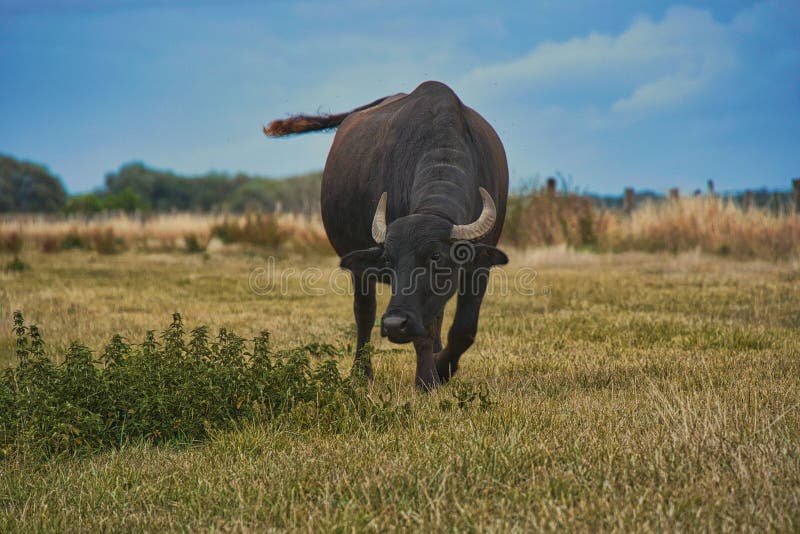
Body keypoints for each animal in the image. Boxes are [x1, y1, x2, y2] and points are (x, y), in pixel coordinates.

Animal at [265, 81, 508, 389]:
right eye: (389, 259)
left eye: (436, 257)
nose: (394, 325)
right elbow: (423, 329)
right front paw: (427, 379)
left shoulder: (479, 267)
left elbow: (462, 328)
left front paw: (440, 370)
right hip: (359, 272)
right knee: (365, 313)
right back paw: (362, 373)